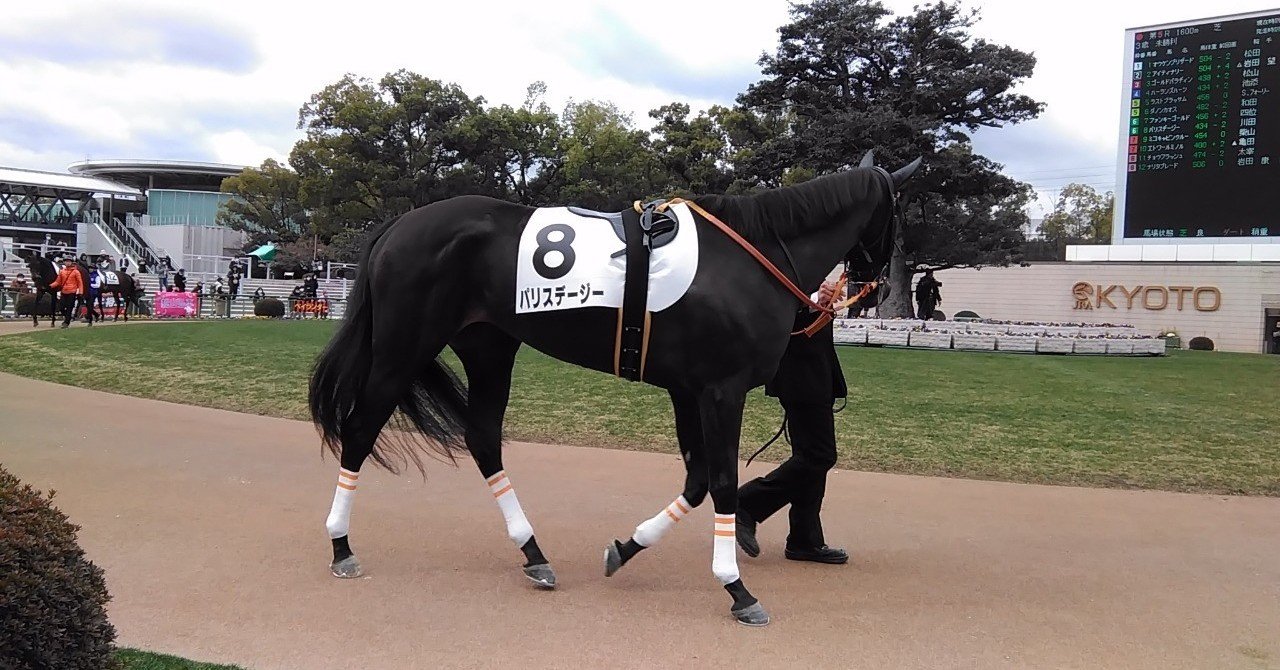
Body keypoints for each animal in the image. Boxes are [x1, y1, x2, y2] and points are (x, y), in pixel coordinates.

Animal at [308, 151, 921, 626]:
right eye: (899, 211)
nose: (880, 286)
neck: (751, 255)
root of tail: (397, 226)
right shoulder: (721, 390)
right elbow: (722, 482)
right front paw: (736, 588)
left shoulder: (687, 390)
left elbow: (697, 481)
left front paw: (626, 549)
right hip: (403, 348)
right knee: (360, 428)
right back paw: (340, 545)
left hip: (489, 347)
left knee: (482, 438)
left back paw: (533, 553)